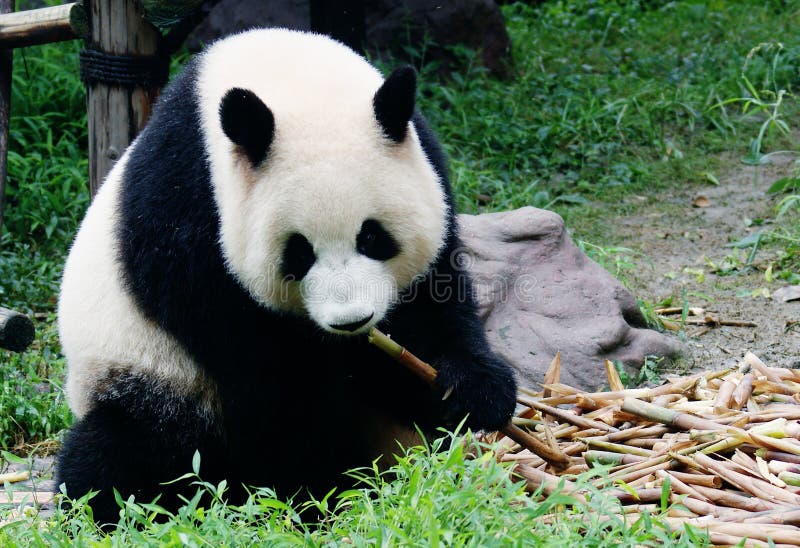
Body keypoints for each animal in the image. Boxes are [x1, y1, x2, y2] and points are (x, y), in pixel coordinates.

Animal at [56, 28, 517, 524]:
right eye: (299, 252)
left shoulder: (429, 166)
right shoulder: (188, 215)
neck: (288, 78)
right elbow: (265, 375)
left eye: (372, 237)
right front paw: (311, 487)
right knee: (124, 451)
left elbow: (431, 302)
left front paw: (472, 391)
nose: (352, 321)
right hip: (145, 375)